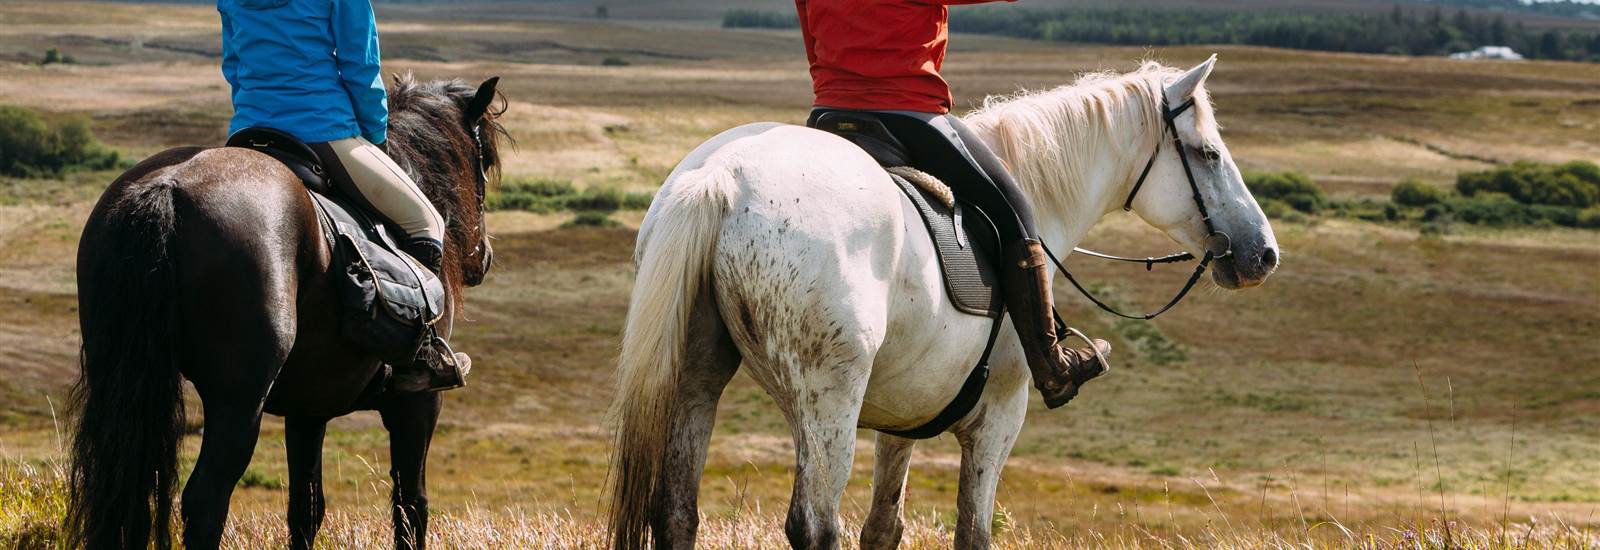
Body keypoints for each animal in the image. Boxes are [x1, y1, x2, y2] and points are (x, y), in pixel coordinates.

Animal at [66, 75, 506, 550]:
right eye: (484, 160)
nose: (483, 256)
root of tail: (167, 189)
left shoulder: (308, 408)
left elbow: (306, 509)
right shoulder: (419, 402)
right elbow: (411, 506)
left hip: (122, 377)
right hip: (238, 401)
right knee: (205, 499)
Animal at [607, 56, 1279, 549]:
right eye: (1209, 154)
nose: (1263, 253)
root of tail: (722, 179)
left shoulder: (900, 417)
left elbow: (884, 527)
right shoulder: (998, 419)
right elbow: (972, 532)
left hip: (696, 378)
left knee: (676, 514)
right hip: (828, 400)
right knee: (813, 526)